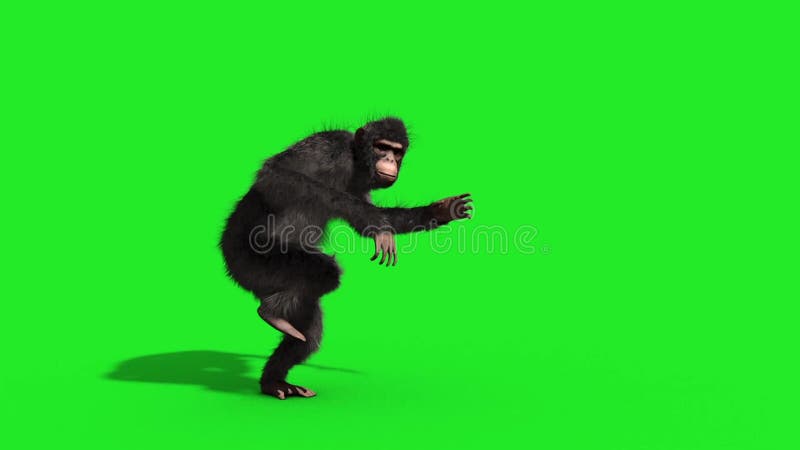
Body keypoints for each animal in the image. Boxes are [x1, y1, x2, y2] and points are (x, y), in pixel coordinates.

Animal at [219, 117, 472, 399]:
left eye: (397, 151)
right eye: (381, 146)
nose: (390, 159)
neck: (355, 160)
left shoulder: (359, 185)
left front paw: (441, 210)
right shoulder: (328, 145)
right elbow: (277, 173)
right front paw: (370, 216)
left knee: (308, 336)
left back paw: (274, 381)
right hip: (254, 262)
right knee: (326, 271)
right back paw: (271, 313)